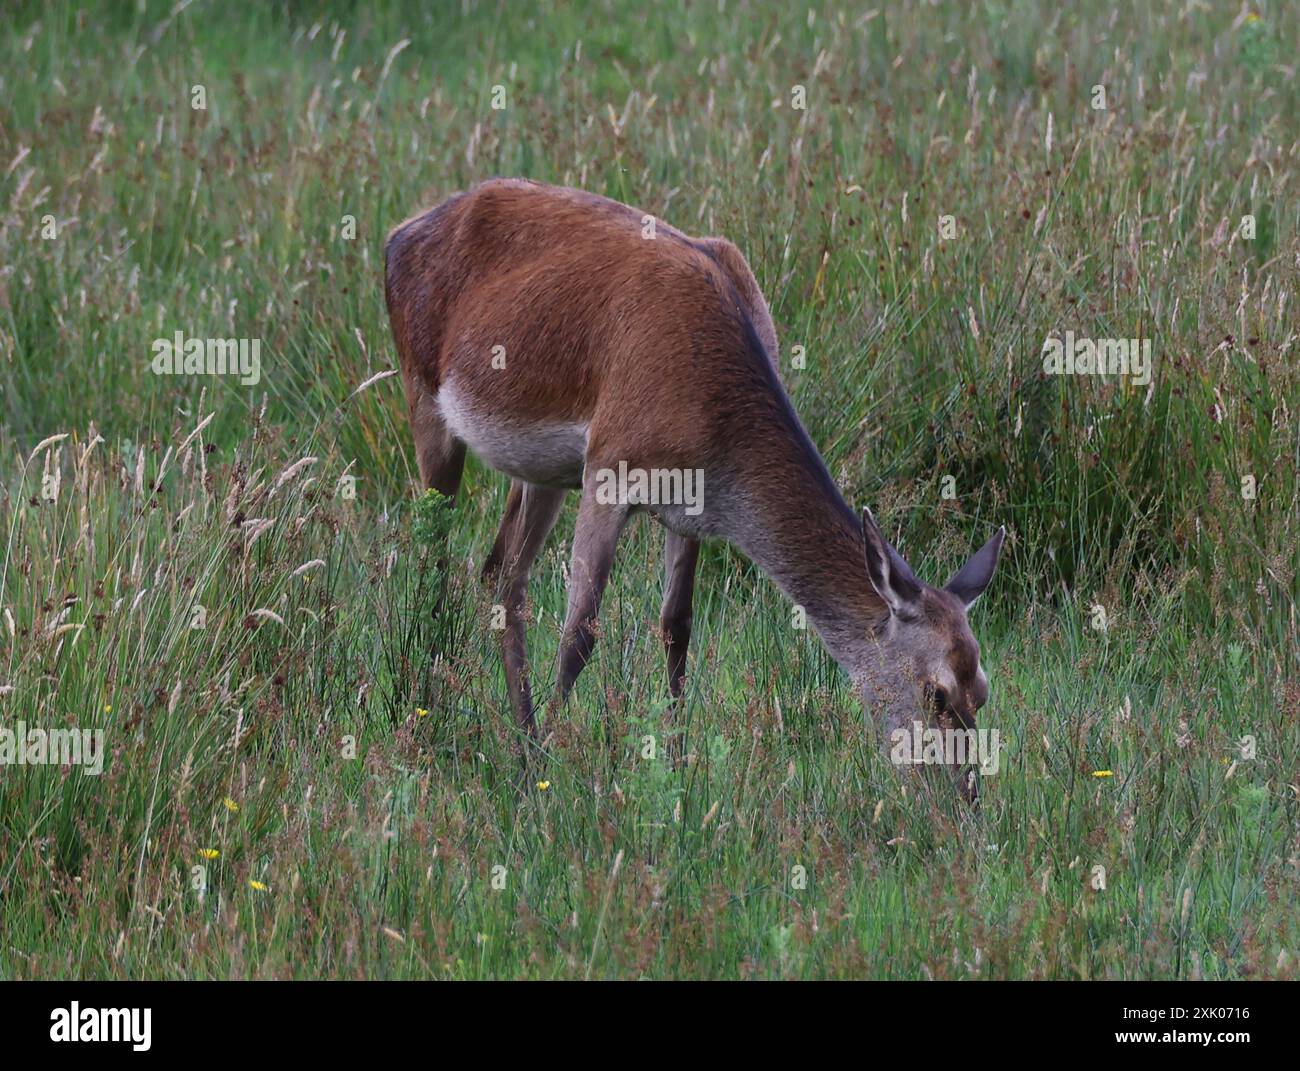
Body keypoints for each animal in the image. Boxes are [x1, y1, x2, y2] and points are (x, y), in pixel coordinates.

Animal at [384, 178, 1005, 798]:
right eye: (935, 692)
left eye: (982, 690)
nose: (965, 795)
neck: (711, 408)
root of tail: (398, 234)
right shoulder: (608, 467)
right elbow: (579, 631)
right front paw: (552, 773)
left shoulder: (689, 506)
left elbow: (676, 627)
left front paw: (679, 768)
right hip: (423, 397)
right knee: (434, 559)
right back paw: (433, 710)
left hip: (540, 473)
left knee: (501, 575)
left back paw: (518, 738)